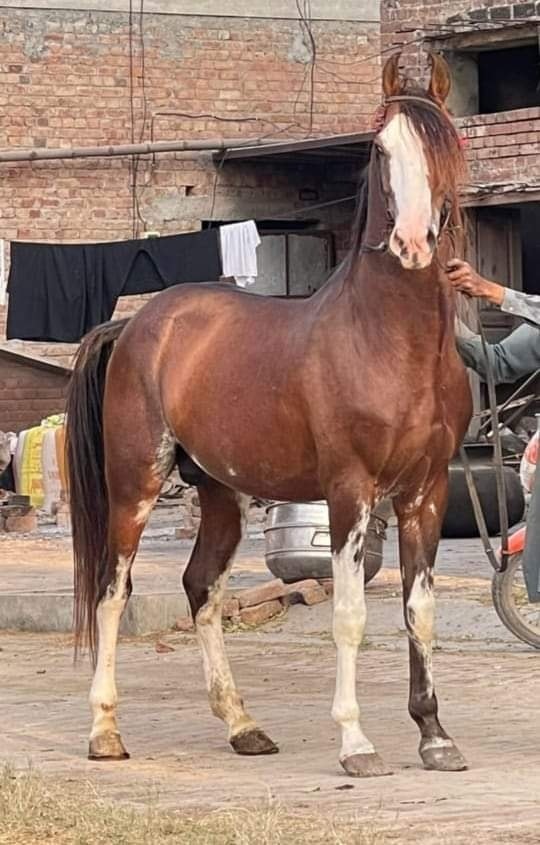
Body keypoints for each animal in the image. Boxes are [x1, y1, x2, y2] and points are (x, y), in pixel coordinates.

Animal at [65, 52, 472, 778]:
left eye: (447, 142)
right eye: (380, 149)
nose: (413, 242)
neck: (391, 342)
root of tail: (136, 324)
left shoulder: (425, 491)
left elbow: (419, 611)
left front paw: (434, 736)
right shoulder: (350, 491)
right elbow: (349, 615)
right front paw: (357, 744)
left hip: (221, 492)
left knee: (201, 586)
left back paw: (243, 725)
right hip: (135, 485)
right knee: (113, 590)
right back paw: (105, 732)